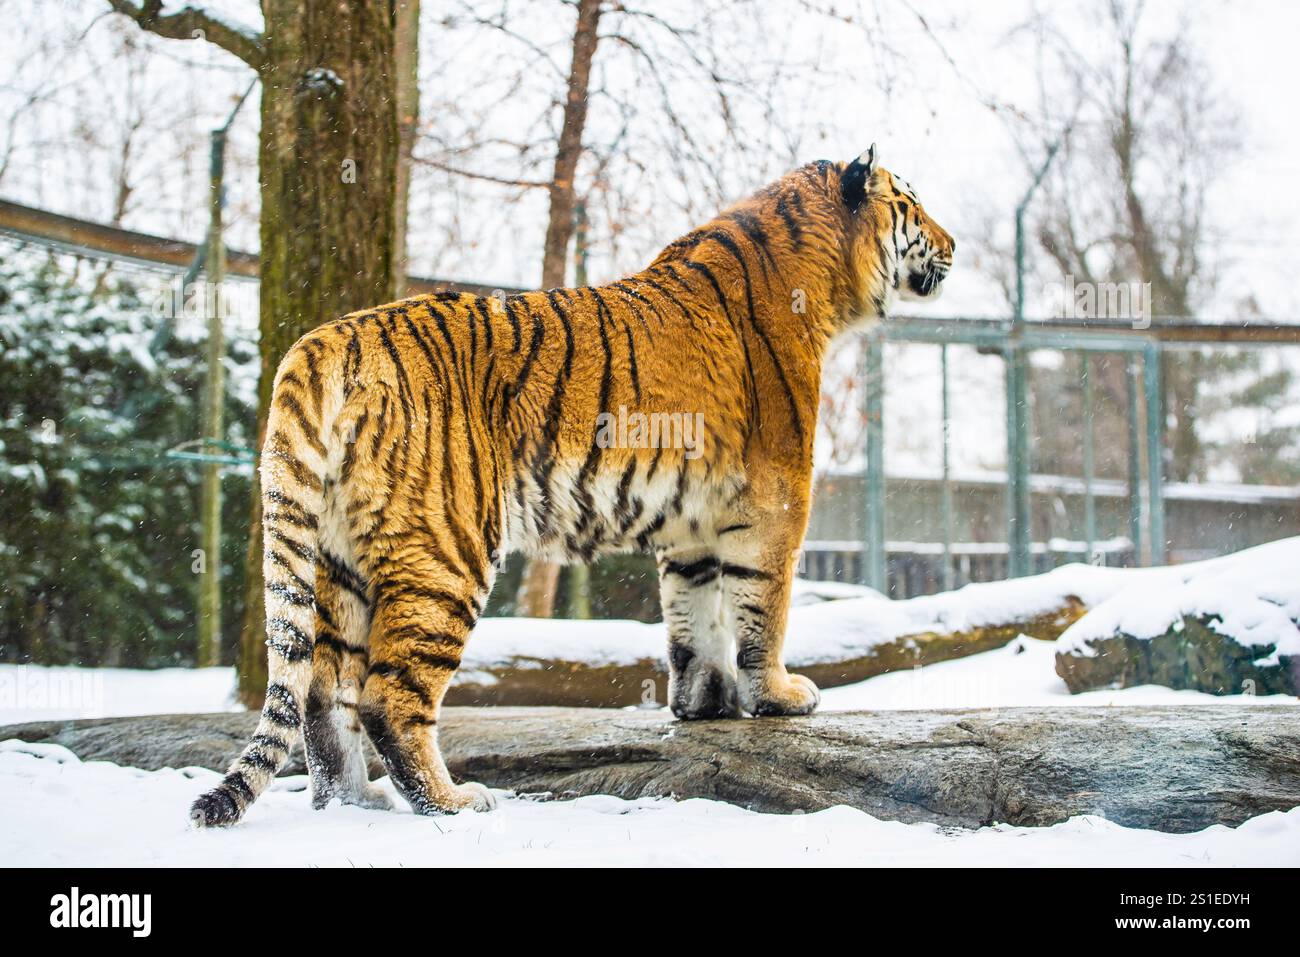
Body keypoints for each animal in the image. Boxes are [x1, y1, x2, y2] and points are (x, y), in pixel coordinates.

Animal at [190, 144, 955, 825]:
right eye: (913, 205)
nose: (955, 245)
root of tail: (323, 341)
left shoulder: (695, 522)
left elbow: (694, 617)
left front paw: (702, 705)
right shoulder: (773, 502)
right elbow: (762, 609)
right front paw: (779, 696)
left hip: (337, 558)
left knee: (322, 693)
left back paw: (356, 802)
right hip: (447, 550)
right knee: (388, 695)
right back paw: (452, 803)